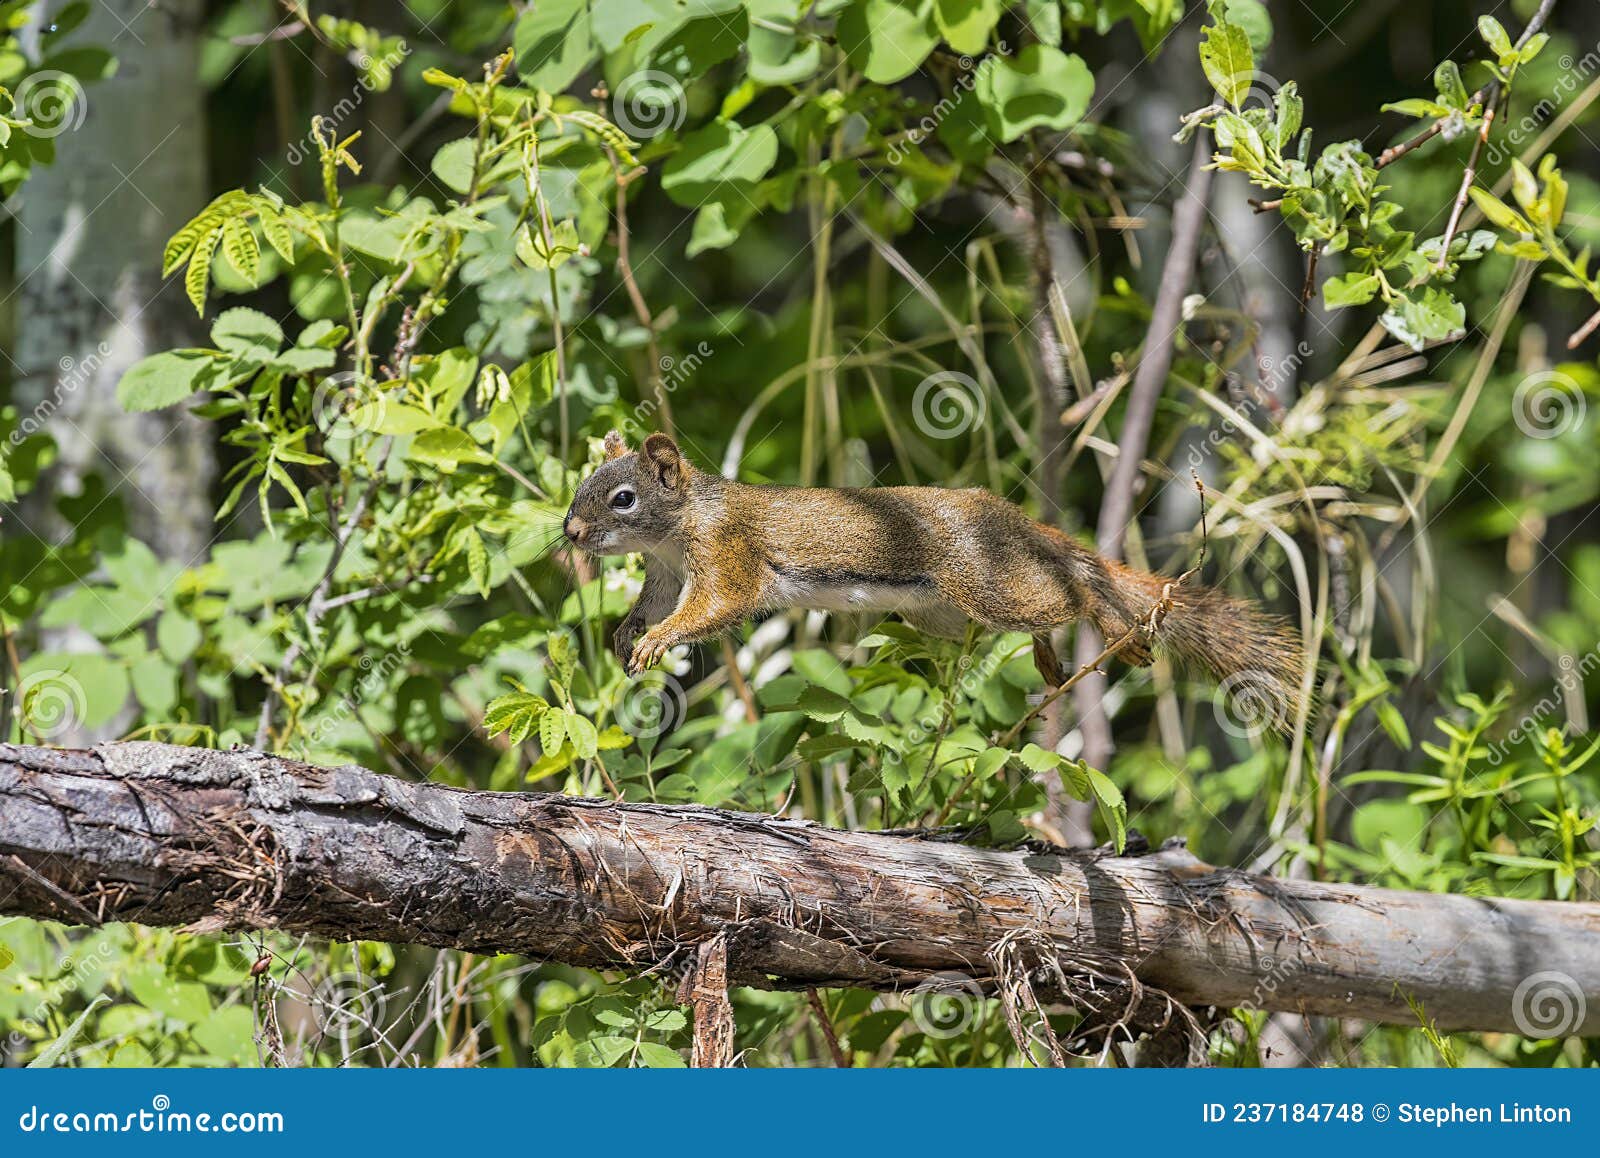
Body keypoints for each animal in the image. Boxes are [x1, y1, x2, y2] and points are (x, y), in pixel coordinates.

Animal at [563, 430, 1303, 725]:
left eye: (623, 498)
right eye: (581, 486)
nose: (569, 532)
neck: (680, 527)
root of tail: (1011, 520)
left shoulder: (729, 556)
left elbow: (717, 605)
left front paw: (658, 641)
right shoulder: (663, 573)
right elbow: (652, 605)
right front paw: (626, 636)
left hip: (988, 582)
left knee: (1066, 592)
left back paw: (1111, 626)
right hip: (942, 614)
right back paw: (1054, 664)